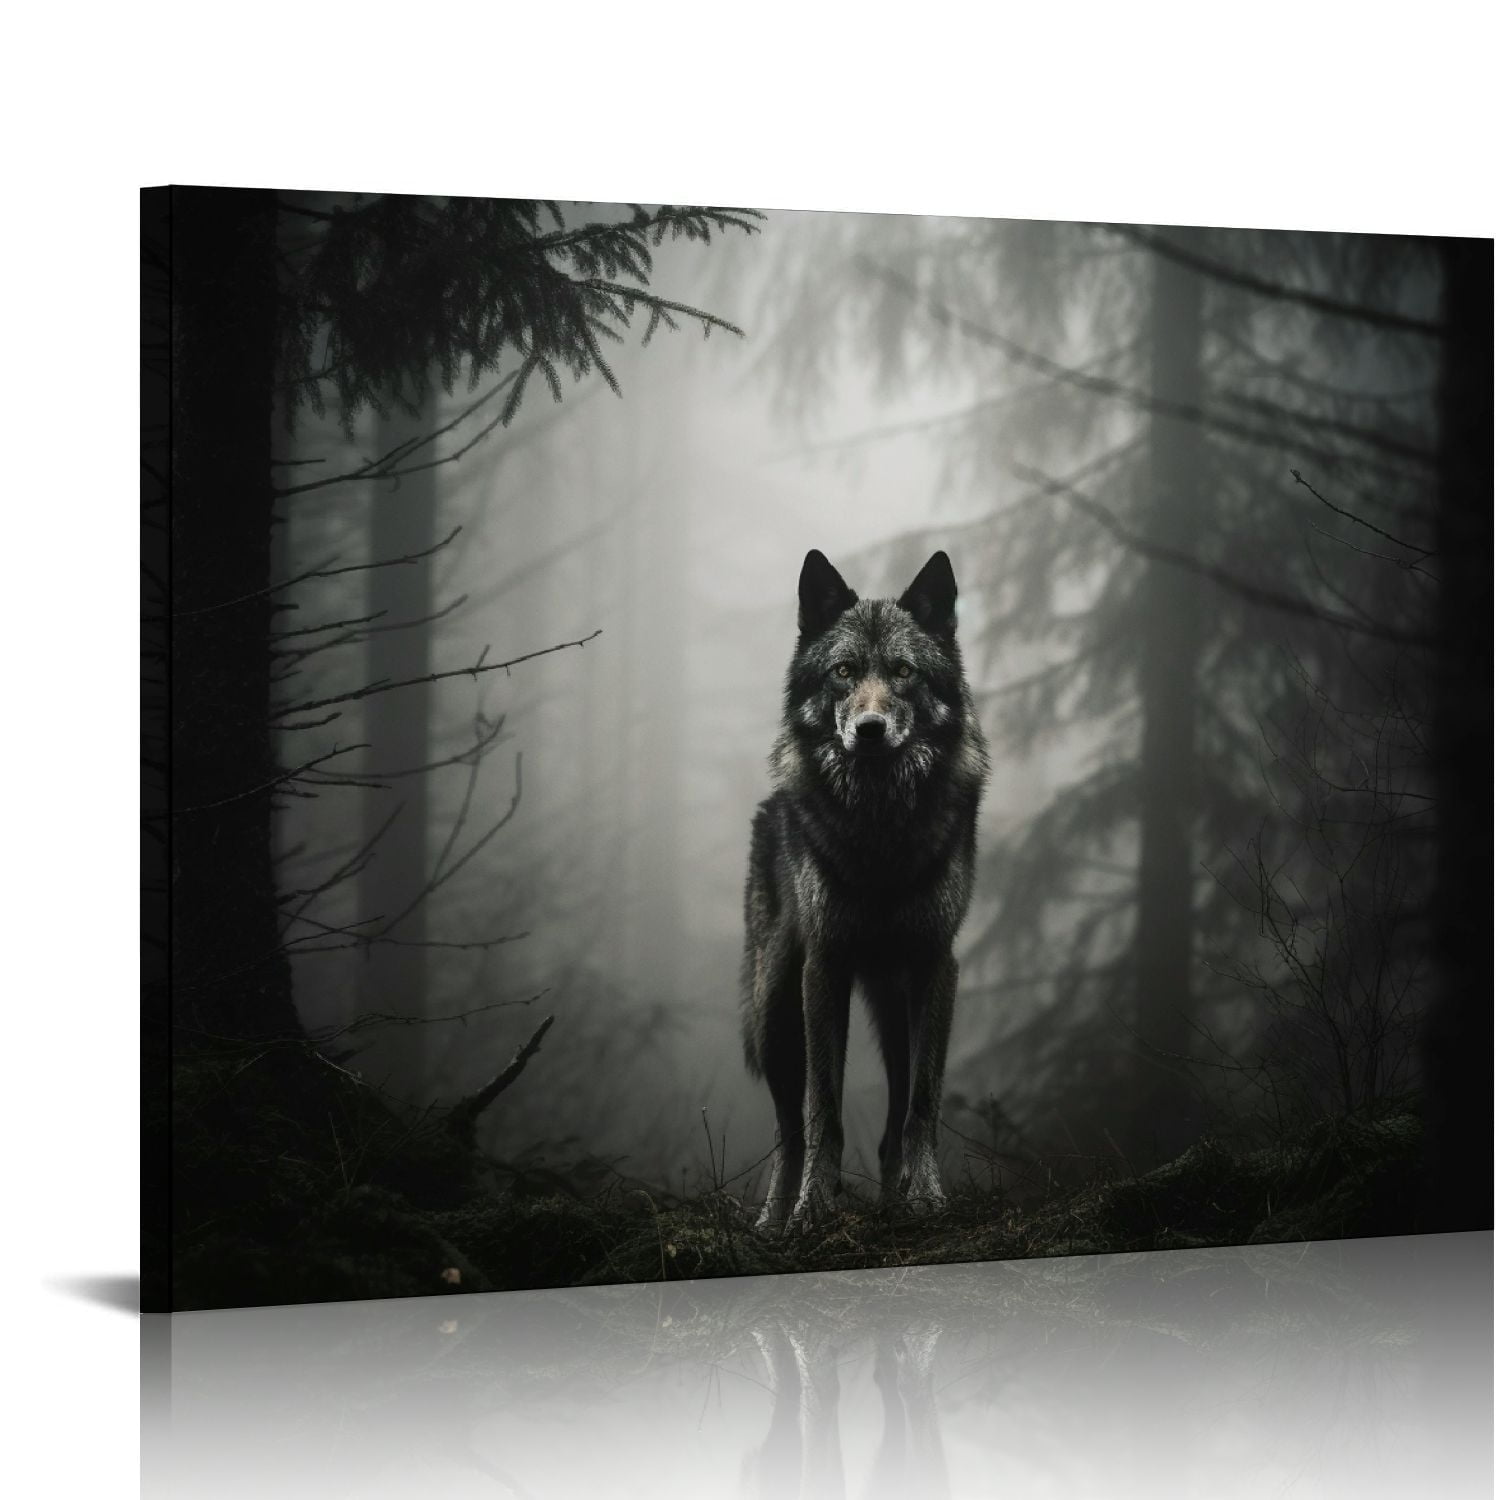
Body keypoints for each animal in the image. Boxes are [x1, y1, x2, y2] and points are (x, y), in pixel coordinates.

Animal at [740, 548, 989, 1231]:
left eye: (902, 672)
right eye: (844, 671)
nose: (871, 728)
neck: (880, 832)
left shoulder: (935, 964)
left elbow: (922, 1103)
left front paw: (926, 1198)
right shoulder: (824, 967)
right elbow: (821, 1109)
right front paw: (811, 1211)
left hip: (894, 1005)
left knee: (894, 1115)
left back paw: (892, 1198)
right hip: (774, 1011)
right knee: (787, 1129)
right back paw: (772, 1220)